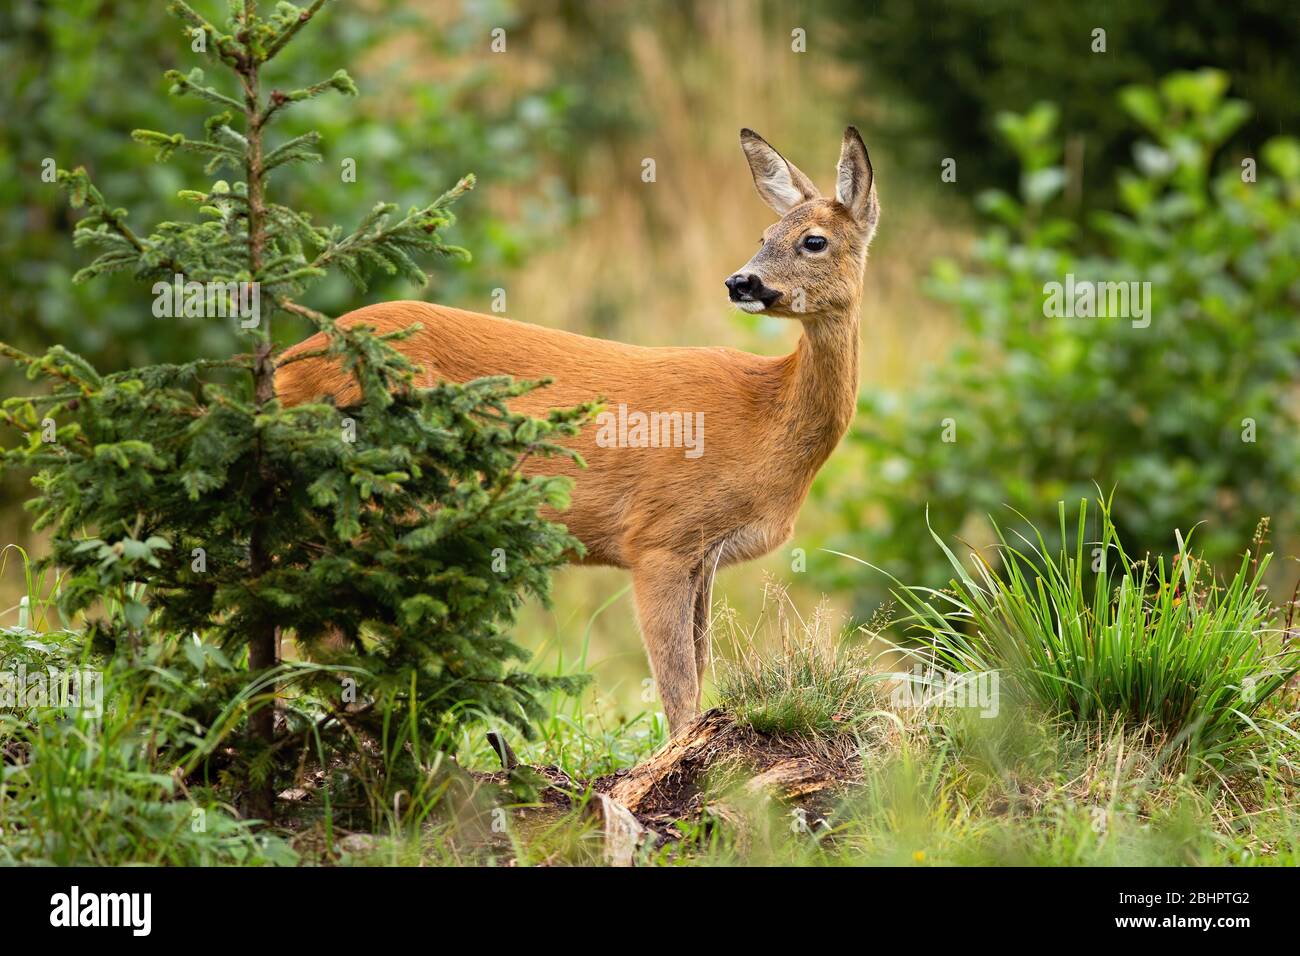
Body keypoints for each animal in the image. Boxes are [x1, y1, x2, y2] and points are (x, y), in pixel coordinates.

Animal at [275, 127, 880, 734]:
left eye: (814, 241)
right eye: (765, 234)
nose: (740, 281)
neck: (766, 415)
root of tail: (284, 364)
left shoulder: (703, 555)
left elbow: (700, 664)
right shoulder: (657, 535)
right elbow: (680, 689)